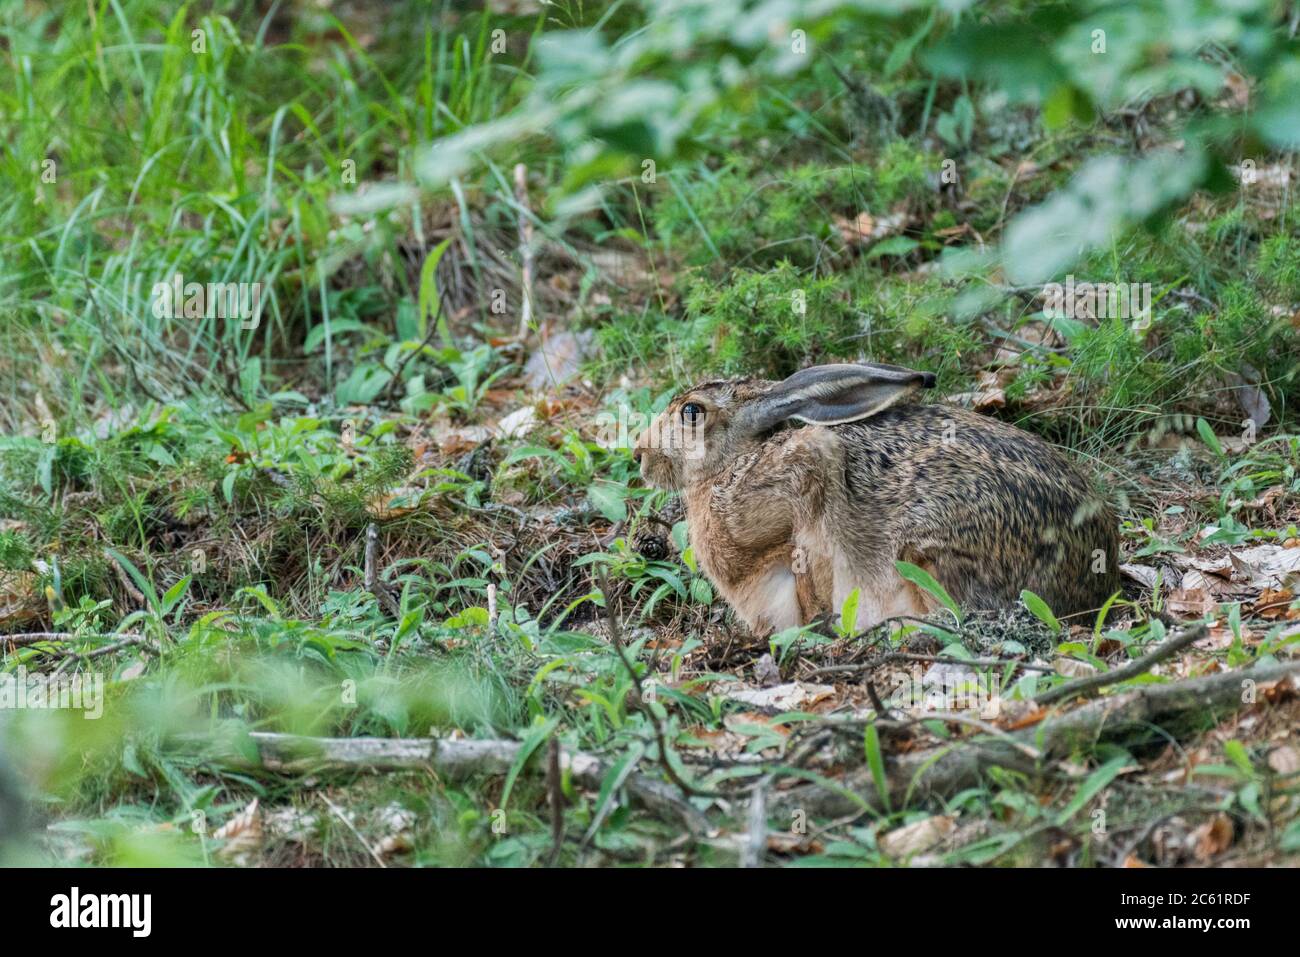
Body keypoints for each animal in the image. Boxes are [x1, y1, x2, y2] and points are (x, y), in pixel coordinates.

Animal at [632, 362, 1120, 637]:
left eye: (691, 412)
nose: (640, 454)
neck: (732, 463)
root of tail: (1096, 581)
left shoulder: (807, 471)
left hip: (927, 550)